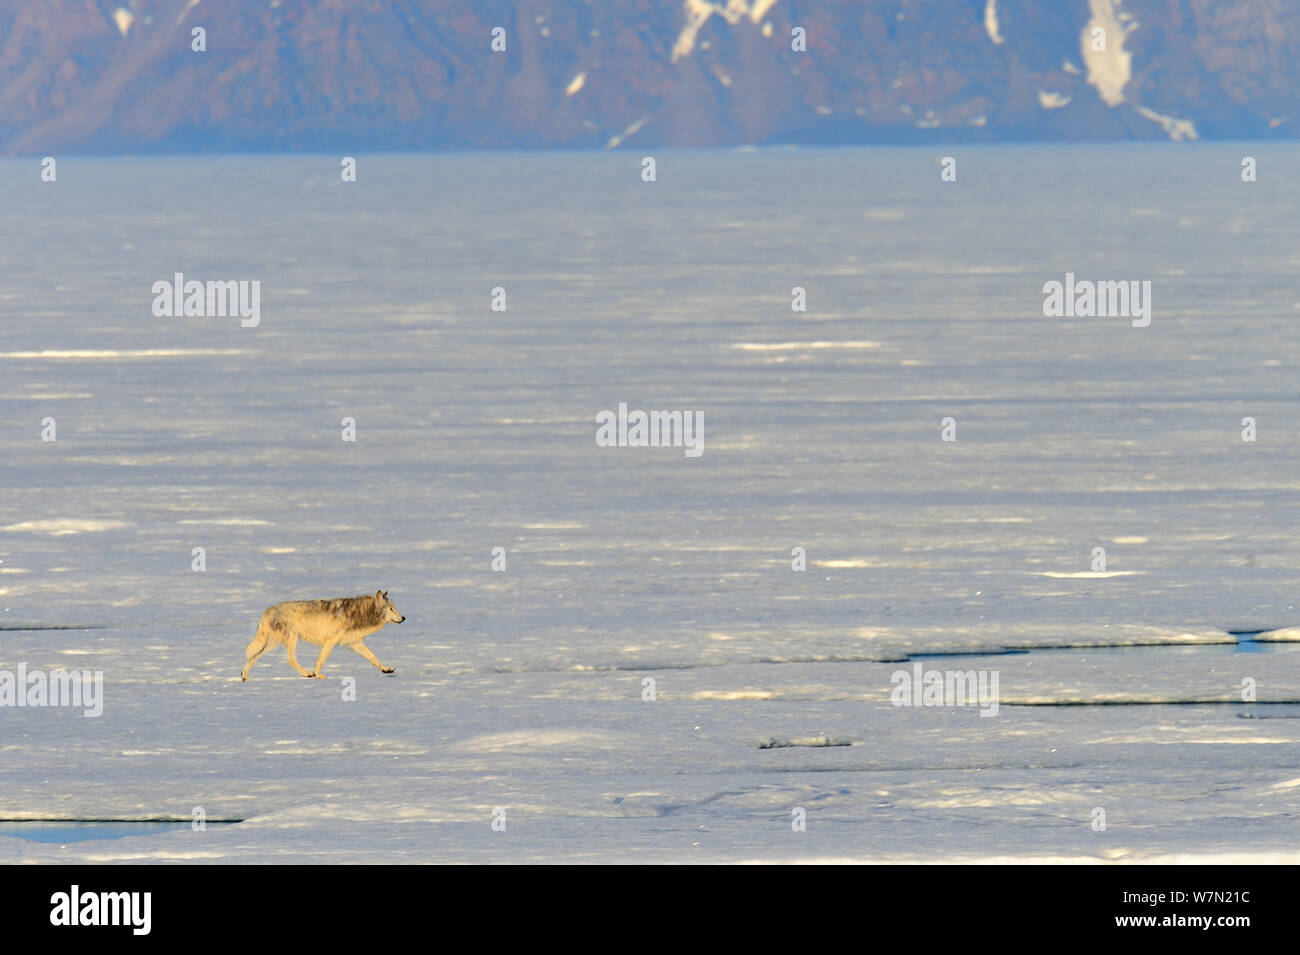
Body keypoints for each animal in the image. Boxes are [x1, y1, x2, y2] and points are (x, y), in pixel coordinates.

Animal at [241, 590, 405, 681]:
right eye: (391, 609)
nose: (403, 618)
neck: (360, 613)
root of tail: (267, 611)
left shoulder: (355, 643)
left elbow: (374, 658)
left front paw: (386, 669)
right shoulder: (330, 641)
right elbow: (321, 660)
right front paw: (317, 675)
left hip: (273, 643)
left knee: (253, 657)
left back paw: (244, 676)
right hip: (291, 639)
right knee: (290, 659)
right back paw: (307, 674)